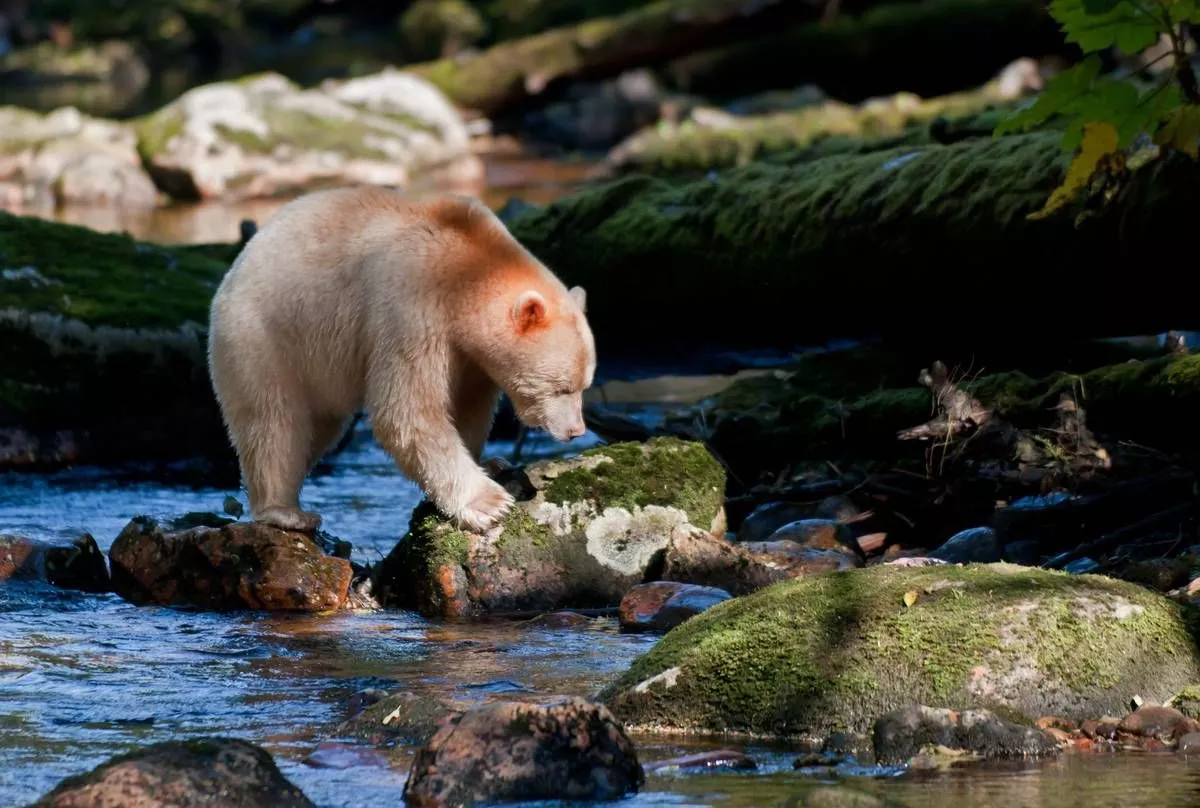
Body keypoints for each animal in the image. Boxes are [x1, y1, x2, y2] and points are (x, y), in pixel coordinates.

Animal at [206, 186, 596, 534]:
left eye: (584, 385)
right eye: (561, 388)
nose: (576, 431)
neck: (468, 267)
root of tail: (233, 271)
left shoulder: (470, 355)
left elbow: (468, 405)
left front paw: (491, 462)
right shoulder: (411, 308)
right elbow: (408, 412)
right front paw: (489, 504)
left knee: (318, 427)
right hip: (266, 339)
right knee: (274, 423)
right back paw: (285, 512)